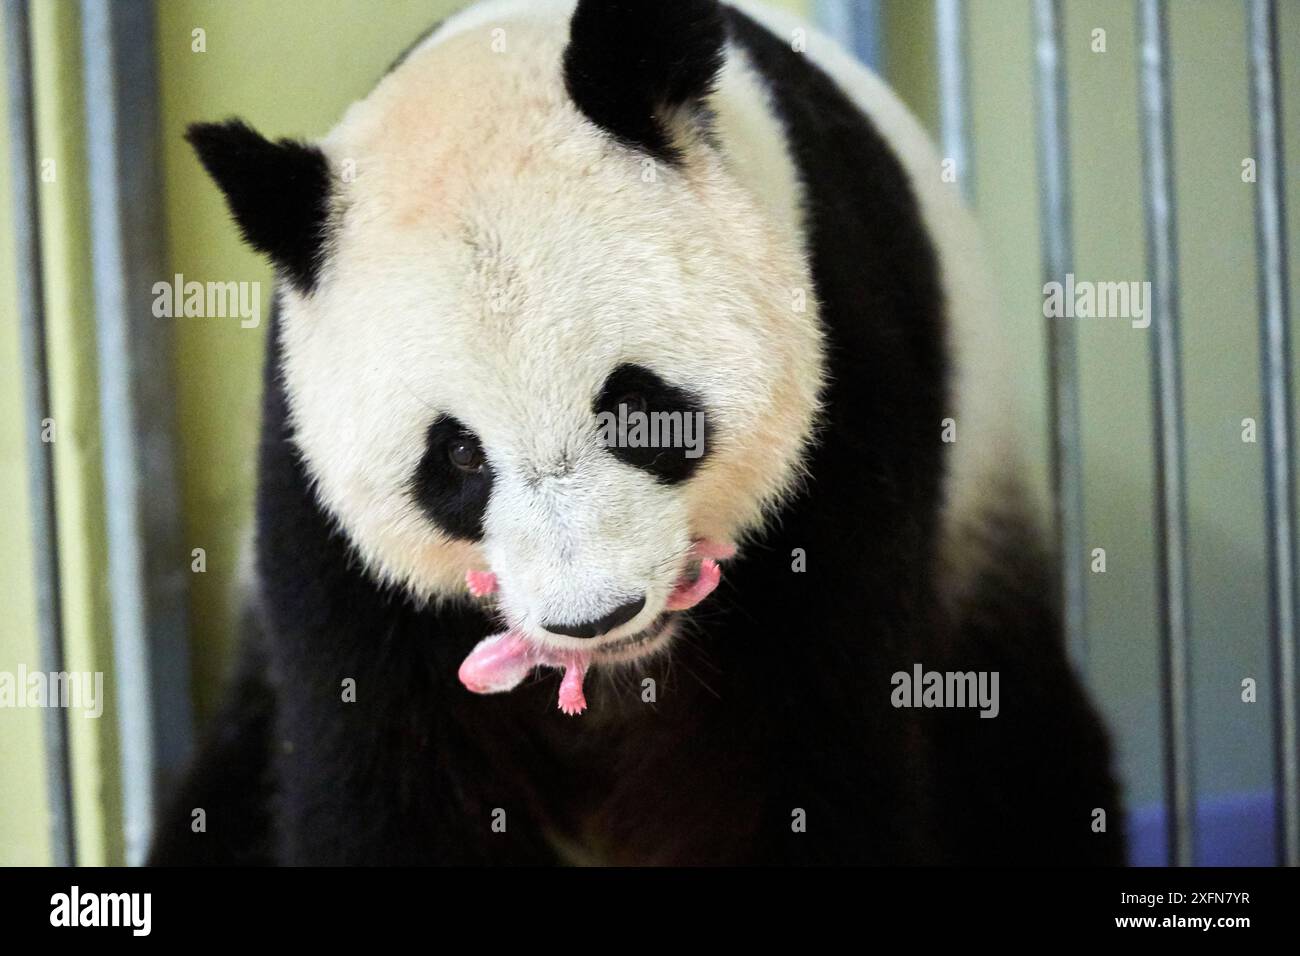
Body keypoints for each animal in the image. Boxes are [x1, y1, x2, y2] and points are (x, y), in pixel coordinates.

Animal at [150, 0, 1124, 865]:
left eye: (632, 409)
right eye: (457, 456)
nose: (593, 616)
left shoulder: (851, 387)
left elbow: (811, 754)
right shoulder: (322, 517)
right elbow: (381, 776)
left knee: (1020, 749)